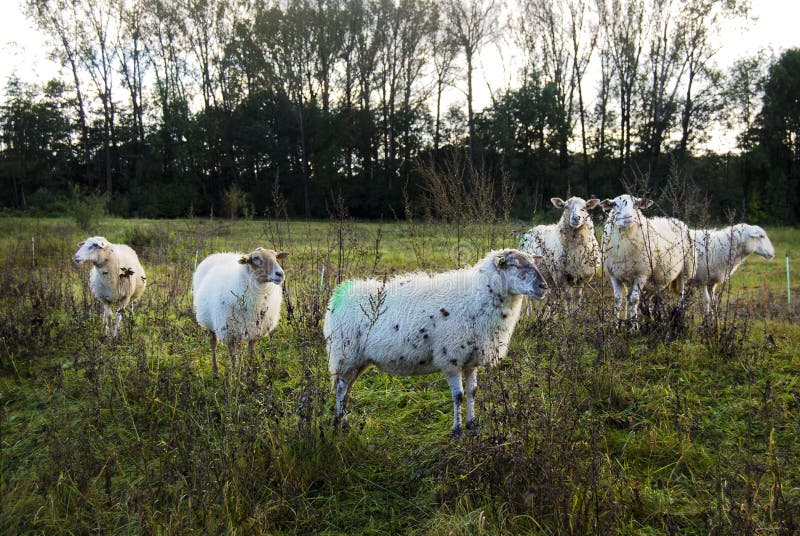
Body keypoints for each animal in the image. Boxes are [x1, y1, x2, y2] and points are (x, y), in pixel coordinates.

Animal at [323, 249, 549, 437]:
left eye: (533, 263)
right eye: (515, 265)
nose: (544, 286)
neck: (475, 296)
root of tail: (337, 295)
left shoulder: (471, 359)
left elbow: (472, 392)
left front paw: (472, 425)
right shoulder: (452, 357)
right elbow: (458, 396)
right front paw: (457, 431)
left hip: (358, 359)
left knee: (348, 387)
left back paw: (342, 420)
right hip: (345, 353)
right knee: (341, 388)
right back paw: (339, 421)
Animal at [600, 195, 696, 324]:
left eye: (636, 204)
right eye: (614, 204)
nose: (628, 218)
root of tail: (676, 220)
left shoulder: (641, 274)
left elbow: (634, 299)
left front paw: (633, 325)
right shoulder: (614, 275)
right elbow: (618, 300)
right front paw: (616, 325)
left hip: (685, 270)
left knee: (682, 295)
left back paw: (679, 316)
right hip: (654, 280)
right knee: (649, 297)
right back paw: (650, 317)